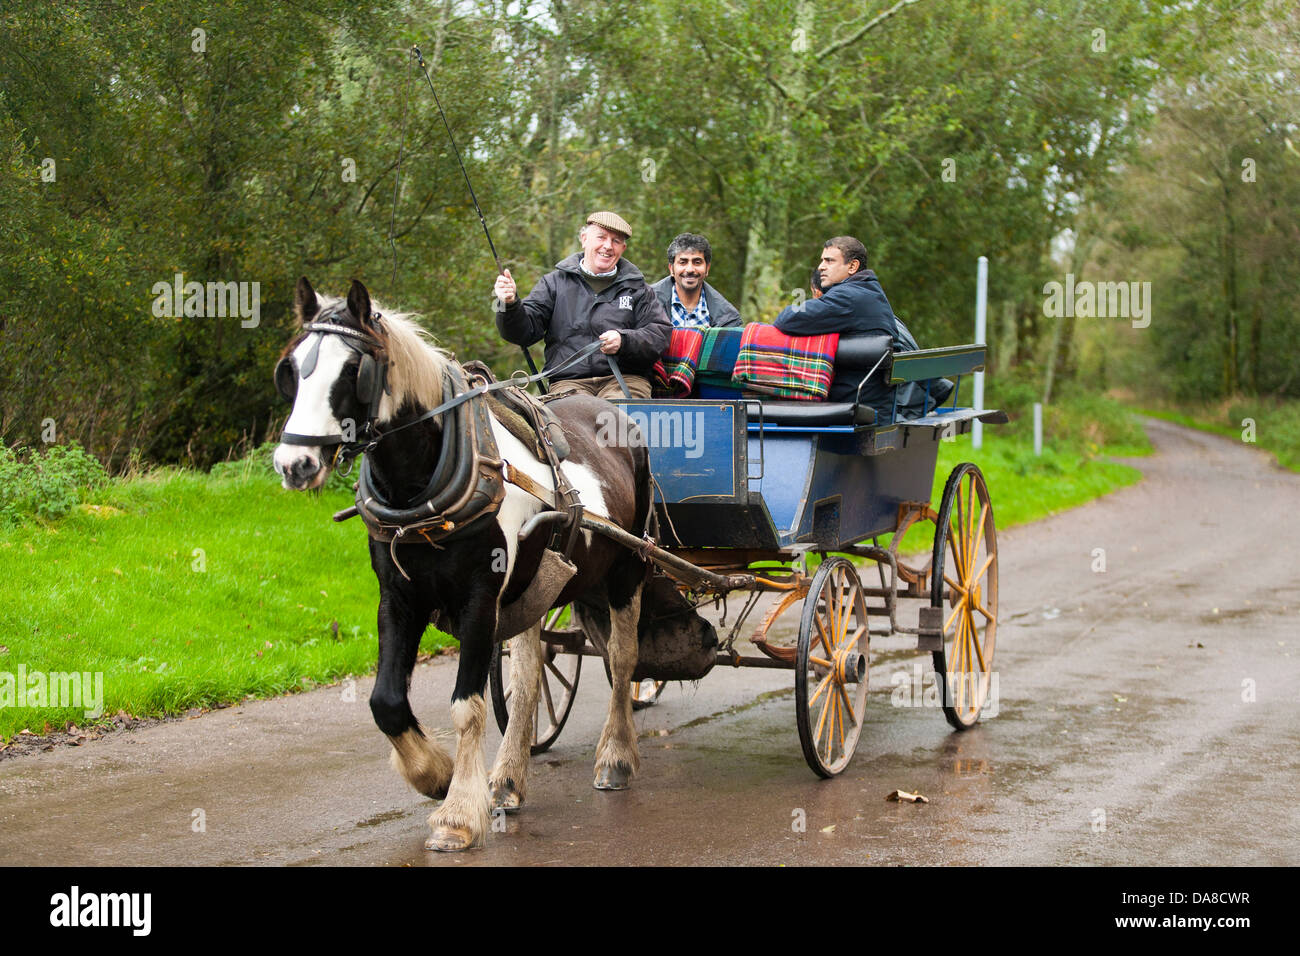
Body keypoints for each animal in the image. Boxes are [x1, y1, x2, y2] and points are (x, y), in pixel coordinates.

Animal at [272, 277, 652, 851]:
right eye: (292, 369)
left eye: (353, 369)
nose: (294, 464)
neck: (423, 486)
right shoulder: (398, 598)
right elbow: (386, 701)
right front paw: (436, 775)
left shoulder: (480, 597)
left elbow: (467, 707)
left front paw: (456, 816)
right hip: (536, 587)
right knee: (531, 676)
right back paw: (508, 778)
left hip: (627, 568)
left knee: (623, 659)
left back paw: (616, 757)